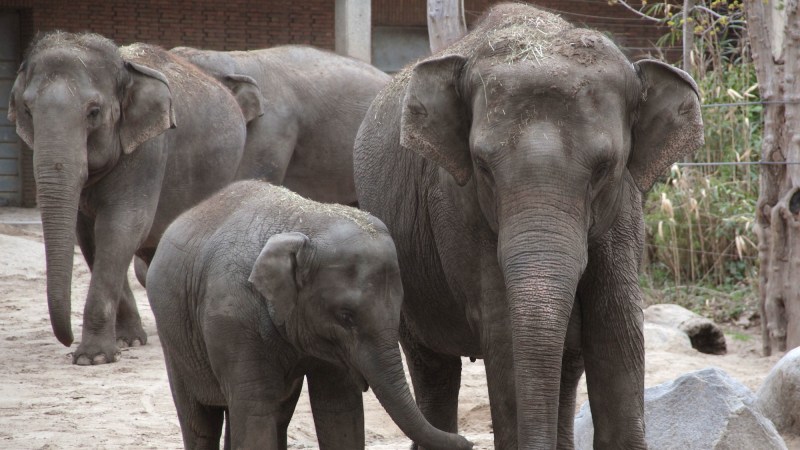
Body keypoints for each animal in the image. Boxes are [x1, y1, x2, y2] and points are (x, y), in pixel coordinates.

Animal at [7, 32, 255, 365]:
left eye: (94, 112)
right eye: (28, 111)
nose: (67, 340)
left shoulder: (149, 149)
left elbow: (122, 227)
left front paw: (93, 358)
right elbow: (90, 235)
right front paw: (128, 341)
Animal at [145, 180, 474, 450]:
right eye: (345, 316)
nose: (467, 441)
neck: (302, 220)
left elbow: (338, 408)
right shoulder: (232, 318)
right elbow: (255, 410)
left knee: (273, 415)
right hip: (174, 341)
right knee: (201, 421)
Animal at [353, 4, 704, 449]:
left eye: (604, 168)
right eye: (483, 166)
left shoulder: (625, 210)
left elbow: (617, 327)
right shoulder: (455, 206)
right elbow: (505, 333)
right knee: (432, 367)